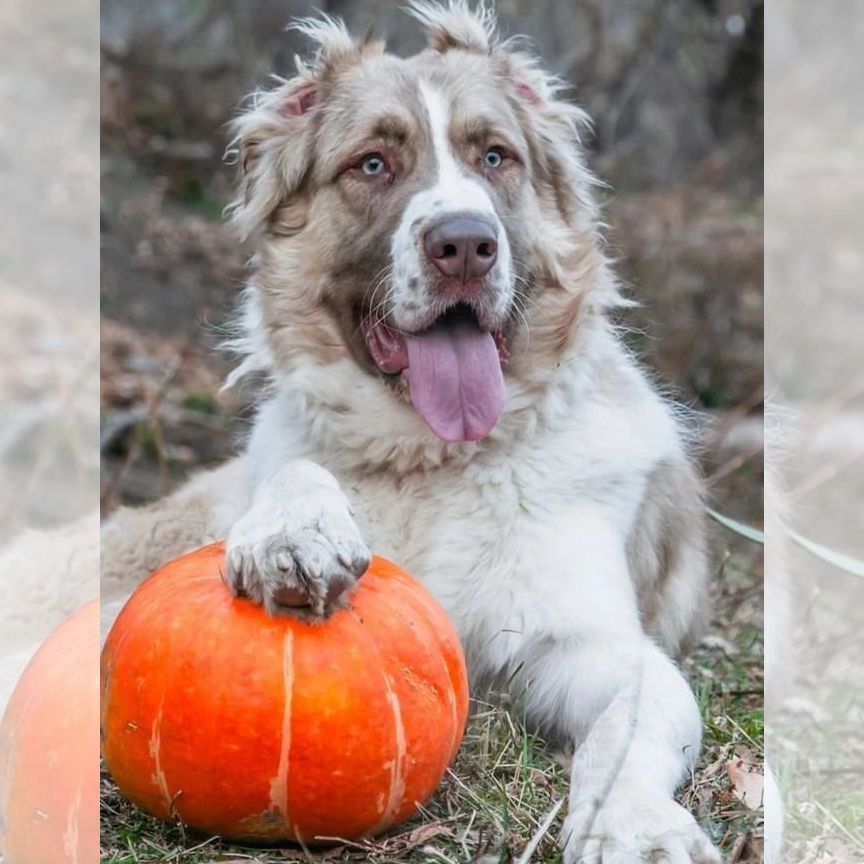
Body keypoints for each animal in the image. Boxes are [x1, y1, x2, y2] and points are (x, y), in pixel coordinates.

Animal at [101, 3, 724, 860]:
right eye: (372, 165)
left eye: (495, 156)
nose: (464, 245)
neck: (430, 462)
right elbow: (301, 471)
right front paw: (294, 536)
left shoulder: (596, 649)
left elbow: (621, 738)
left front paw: (635, 826)